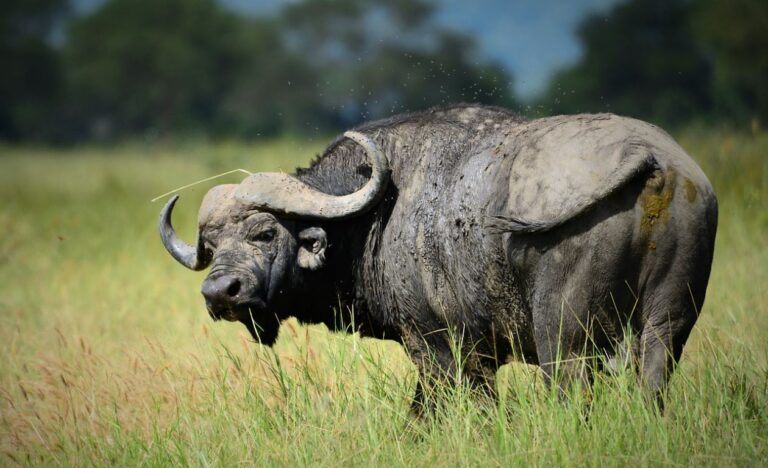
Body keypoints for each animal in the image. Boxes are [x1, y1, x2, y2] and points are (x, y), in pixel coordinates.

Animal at [159, 104, 717, 409]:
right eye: (211, 246)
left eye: (264, 233)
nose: (220, 292)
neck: (377, 215)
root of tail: (651, 157)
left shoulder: (442, 349)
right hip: (669, 322)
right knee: (654, 378)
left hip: (564, 334)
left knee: (570, 386)